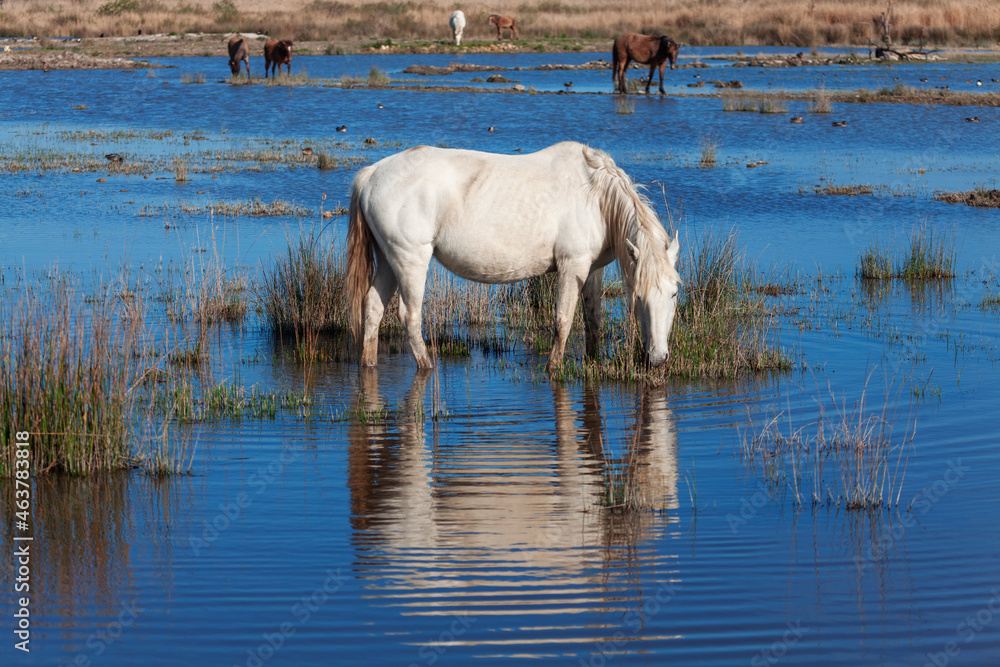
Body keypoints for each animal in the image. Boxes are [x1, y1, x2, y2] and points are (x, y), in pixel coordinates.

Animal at [346, 142, 681, 373]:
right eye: (638, 298)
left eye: (675, 294)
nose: (658, 358)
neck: (595, 196)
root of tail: (371, 175)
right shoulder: (571, 265)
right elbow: (563, 320)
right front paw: (554, 368)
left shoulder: (591, 270)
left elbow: (593, 319)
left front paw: (592, 360)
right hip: (410, 261)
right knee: (410, 316)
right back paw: (427, 365)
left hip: (389, 260)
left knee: (373, 308)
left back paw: (368, 363)